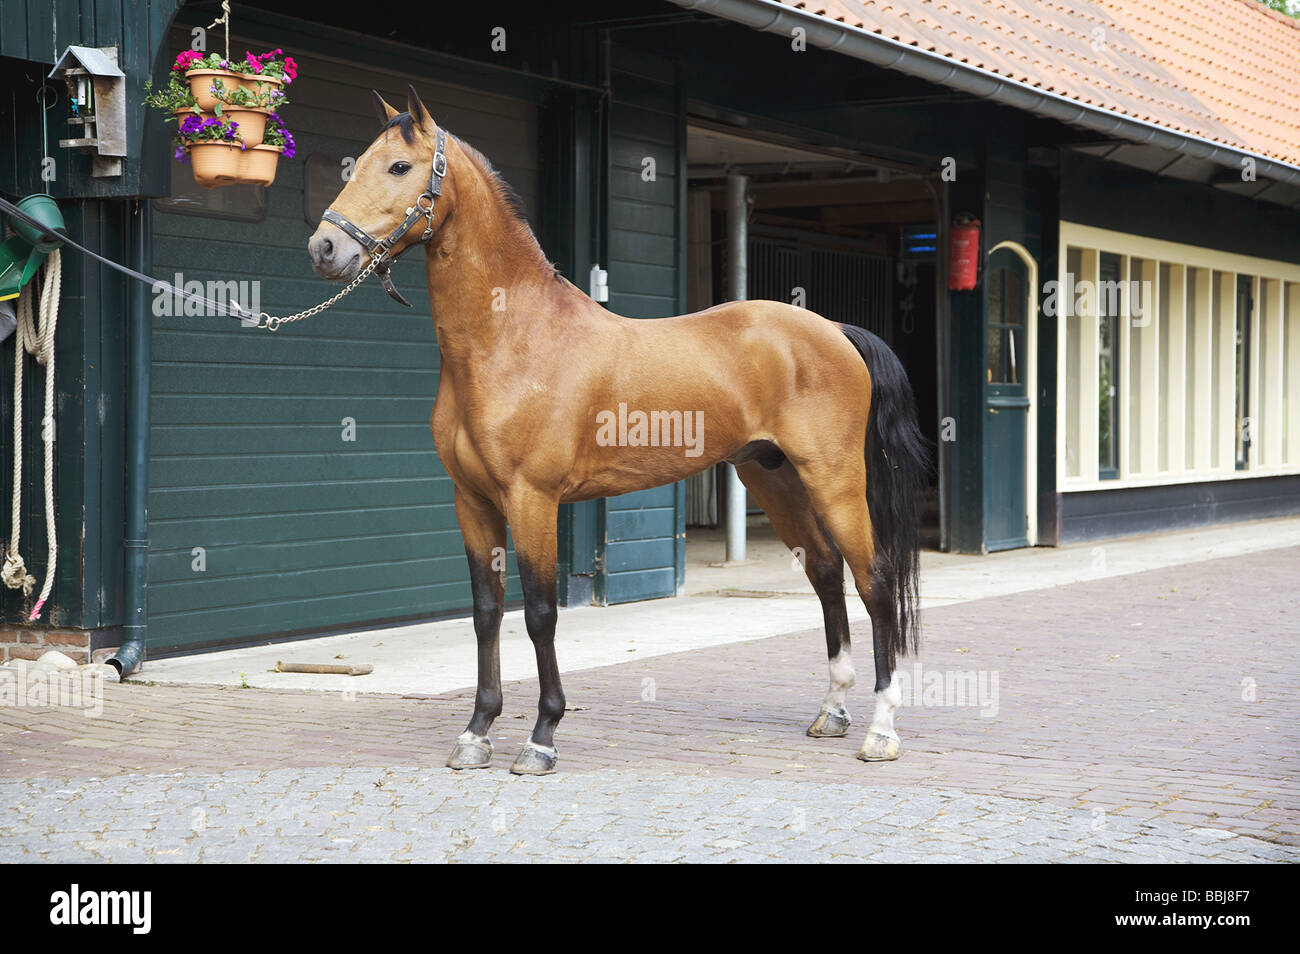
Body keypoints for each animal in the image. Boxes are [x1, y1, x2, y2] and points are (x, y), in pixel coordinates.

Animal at [308, 86, 930, 776]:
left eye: (399, 167)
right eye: (359, 162)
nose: (324, 249)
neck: (511, 338)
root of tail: (835, 330)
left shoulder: (532, 499)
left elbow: (541, 615)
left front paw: (541, 737)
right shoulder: (471, 501)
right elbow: (486, 612)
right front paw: (476, 732)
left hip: (835, 479)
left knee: (874, 580)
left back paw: (881, 730)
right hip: (774, 477)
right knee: (824, 571)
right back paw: (834, 712)